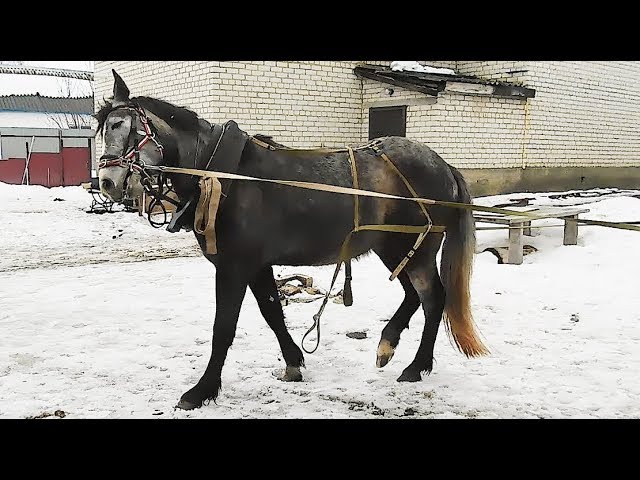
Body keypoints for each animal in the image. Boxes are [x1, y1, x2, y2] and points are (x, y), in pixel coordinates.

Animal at [96, 70, 488, 410]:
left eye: (123, 126)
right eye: (103, 130)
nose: (107, 183)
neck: (224, 177)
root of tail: (444, 166)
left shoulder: (235, 266)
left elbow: (224, 327)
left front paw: (202, 390)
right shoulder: (257, 265)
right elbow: (272, 311)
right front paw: (294, 362)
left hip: (410, 248)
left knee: (433, 298)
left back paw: (416, 366)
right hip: (396, 249)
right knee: (415, 296)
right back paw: (388, 346)